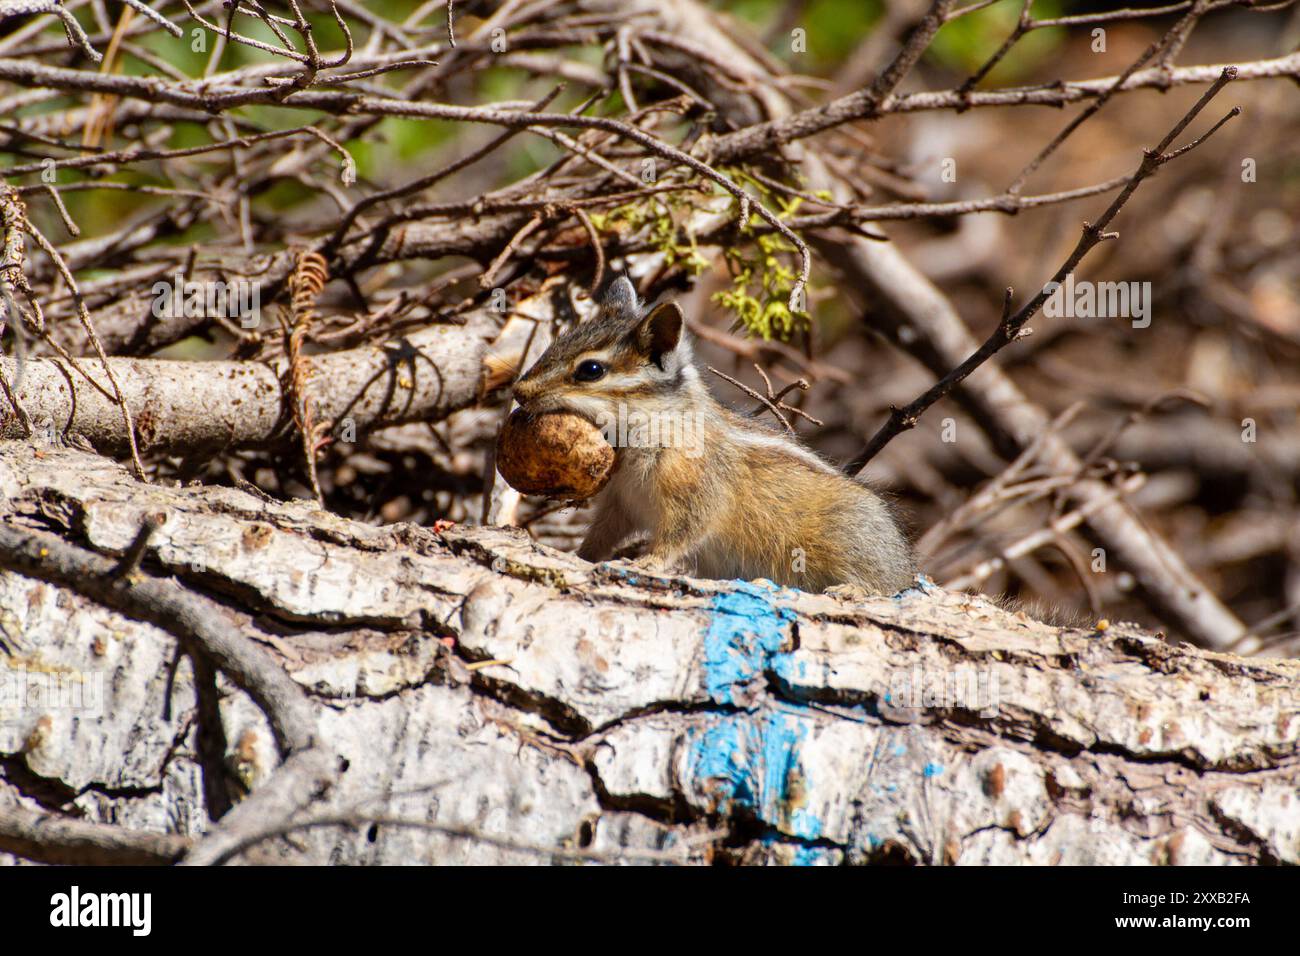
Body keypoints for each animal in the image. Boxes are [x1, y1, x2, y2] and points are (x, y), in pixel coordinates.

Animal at [512, 276, 915, 594]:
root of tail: (906, 566)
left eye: (591, 370)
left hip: (848, 541)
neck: (651, 427)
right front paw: (577, 555)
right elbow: (603, 532)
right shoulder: (620, 501)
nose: (518, 391)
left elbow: (682, 533)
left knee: (881, 587)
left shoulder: (696, 493)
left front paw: (648, 563)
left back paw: (852, 591)